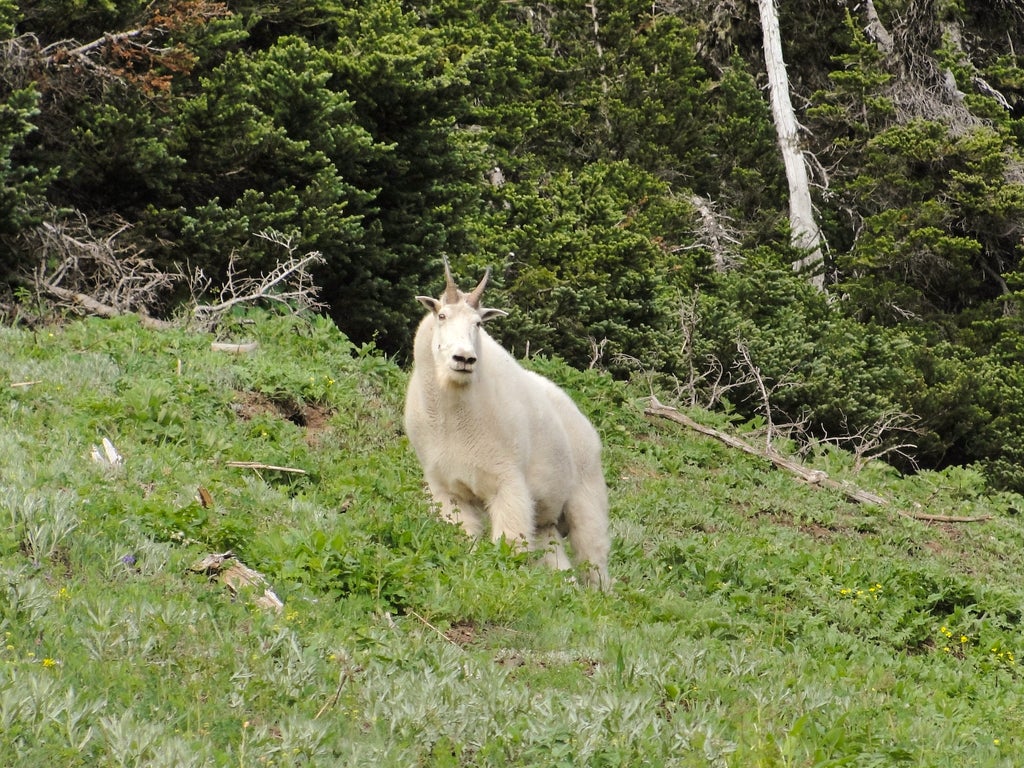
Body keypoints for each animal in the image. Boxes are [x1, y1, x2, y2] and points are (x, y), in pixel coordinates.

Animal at [404, 259, 611, 588]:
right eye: (442, 315)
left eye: (478, 323)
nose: (464, 359)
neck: (453, 417)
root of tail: (586, 425)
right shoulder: (448, 489)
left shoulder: (508, 482)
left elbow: (511, 542)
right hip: (547, 520)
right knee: (555, 555)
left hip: (586, 495)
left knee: (594, 555)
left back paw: (599, 594)